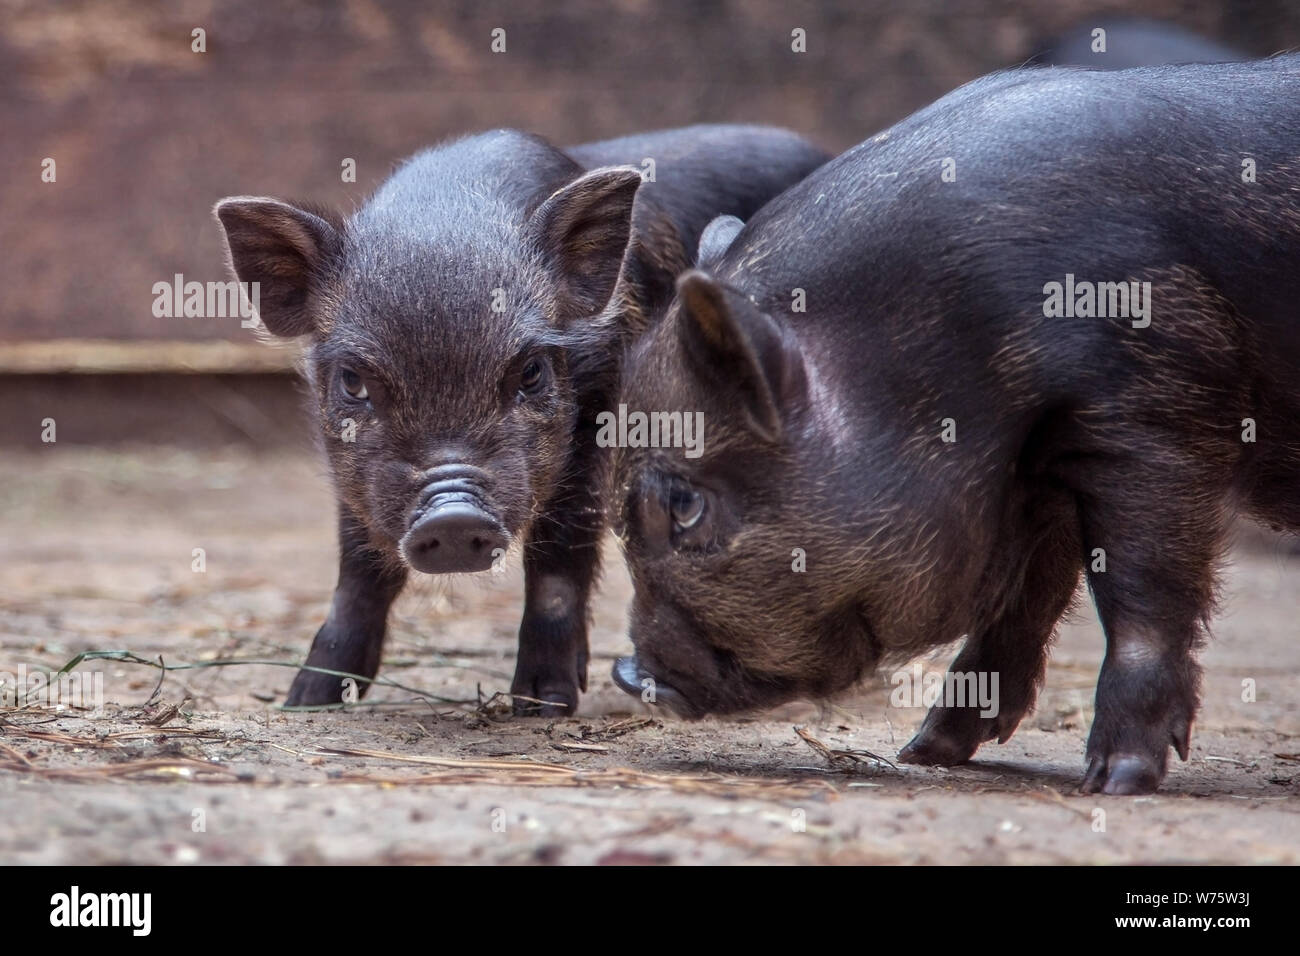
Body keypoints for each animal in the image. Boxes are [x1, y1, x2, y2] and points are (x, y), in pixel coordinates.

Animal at [214, 125, 828, 716]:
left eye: (531, 371)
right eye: (352, 380)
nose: (452, 514)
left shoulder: (595, 433)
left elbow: (559, 557)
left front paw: (542, 704)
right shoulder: (350, 472)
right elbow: (359, 568)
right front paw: (306, 700)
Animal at [607, 58, 1300, 793]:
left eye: (683, 504)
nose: (628, 672)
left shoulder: (1155, 412)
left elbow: (1145, 599)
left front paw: (1114, 781)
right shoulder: (1039, 466)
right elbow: (1022, 606)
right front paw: (926, 750)